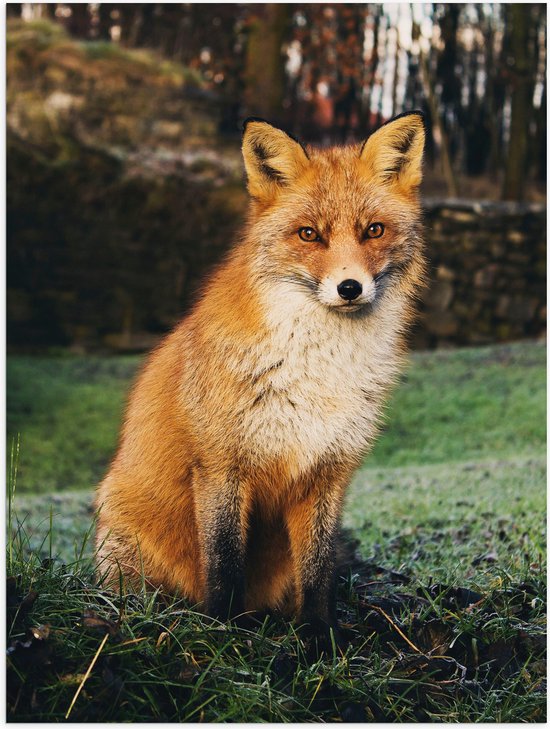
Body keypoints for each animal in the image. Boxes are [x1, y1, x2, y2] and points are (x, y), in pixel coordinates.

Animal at [95, 111, 426, 636]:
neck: (317, 370)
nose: (349, 288)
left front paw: (319, 637)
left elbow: (318, 571)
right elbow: (224, 563)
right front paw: (224, 633)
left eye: (374, 230)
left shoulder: (327, 473)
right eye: (309, 234)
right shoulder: (221, 465)